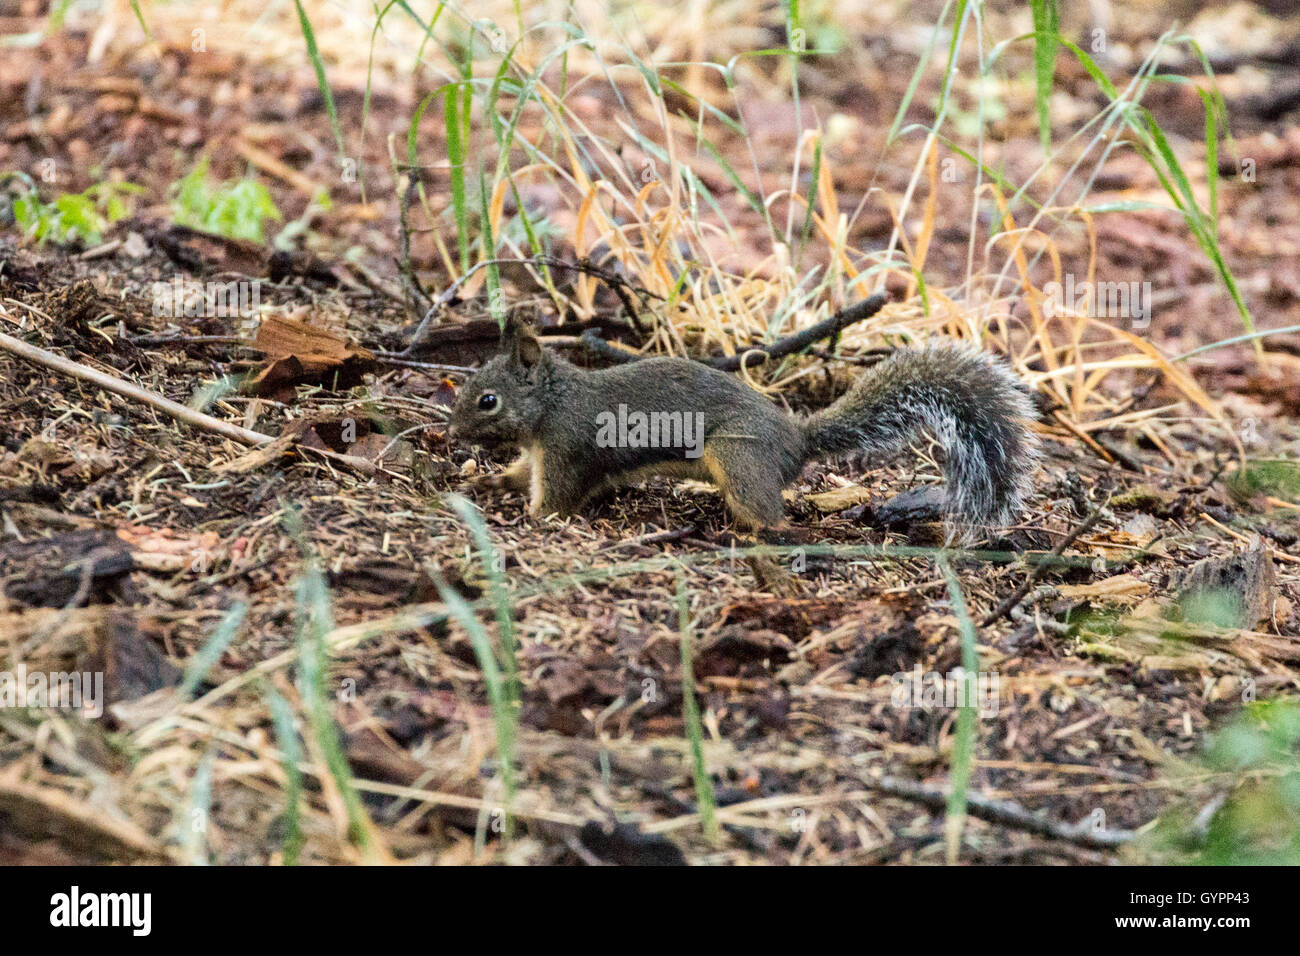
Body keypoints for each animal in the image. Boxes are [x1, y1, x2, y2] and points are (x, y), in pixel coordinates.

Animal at [449, 319, 1040, 538]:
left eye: (488, 400)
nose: (452, 431)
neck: (553, 403)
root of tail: (797, 439)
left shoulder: (567, 451)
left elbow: (557, 498)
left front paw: (530, 520)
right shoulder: (538, 452)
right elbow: (520, 473)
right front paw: (488, 481)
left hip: (737, 456)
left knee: (770, 512)